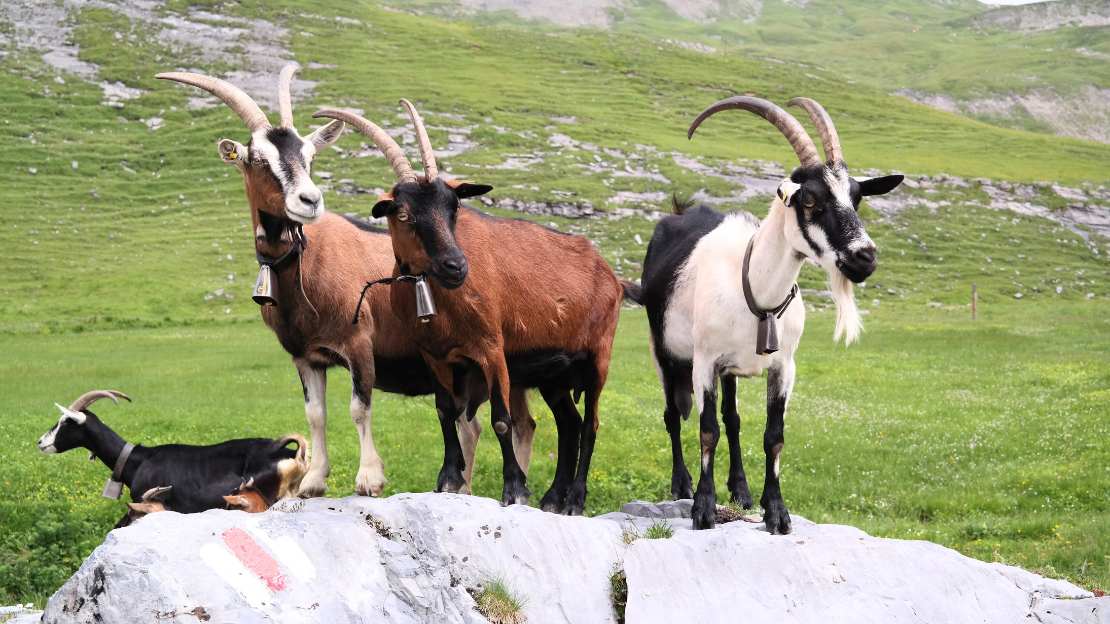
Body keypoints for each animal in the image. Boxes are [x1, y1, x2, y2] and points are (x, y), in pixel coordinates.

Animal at [156, 65, 535, 497]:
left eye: (308, 155)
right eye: (257, 159)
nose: (309, 200)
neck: (308, 267)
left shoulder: (358, 343)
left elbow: (359, 406)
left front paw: (369, 477)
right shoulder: (305, 356)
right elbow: (315, 414)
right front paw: (314, 480)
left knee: (514, 424)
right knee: (476, 424)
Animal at [313, 101, 623, 514]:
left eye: (454, 207)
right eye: (403, 213)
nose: (456, 266)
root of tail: (609, 273)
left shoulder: (492, 349)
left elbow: (502, 421)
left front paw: (514, 489)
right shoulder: (435, 355)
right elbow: (445, 411)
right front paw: (448, 480)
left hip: (597, 356)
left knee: (590, 424)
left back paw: (574, 500)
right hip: (554, 372)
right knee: (569, 423)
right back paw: (553, 498)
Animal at [626, 95, 903, 531]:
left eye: (856, 197)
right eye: (810, 199)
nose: (864, 257)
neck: (756, 289)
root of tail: (679, 211)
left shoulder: (783, 366)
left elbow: (773, 436)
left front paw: (776, 511)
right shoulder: (704, 361)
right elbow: (706, 430)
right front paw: (703, 508)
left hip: (730, 369)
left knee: (733, 418)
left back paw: (740, 489)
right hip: (665, 351)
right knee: (673, 415)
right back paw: (681, 484)